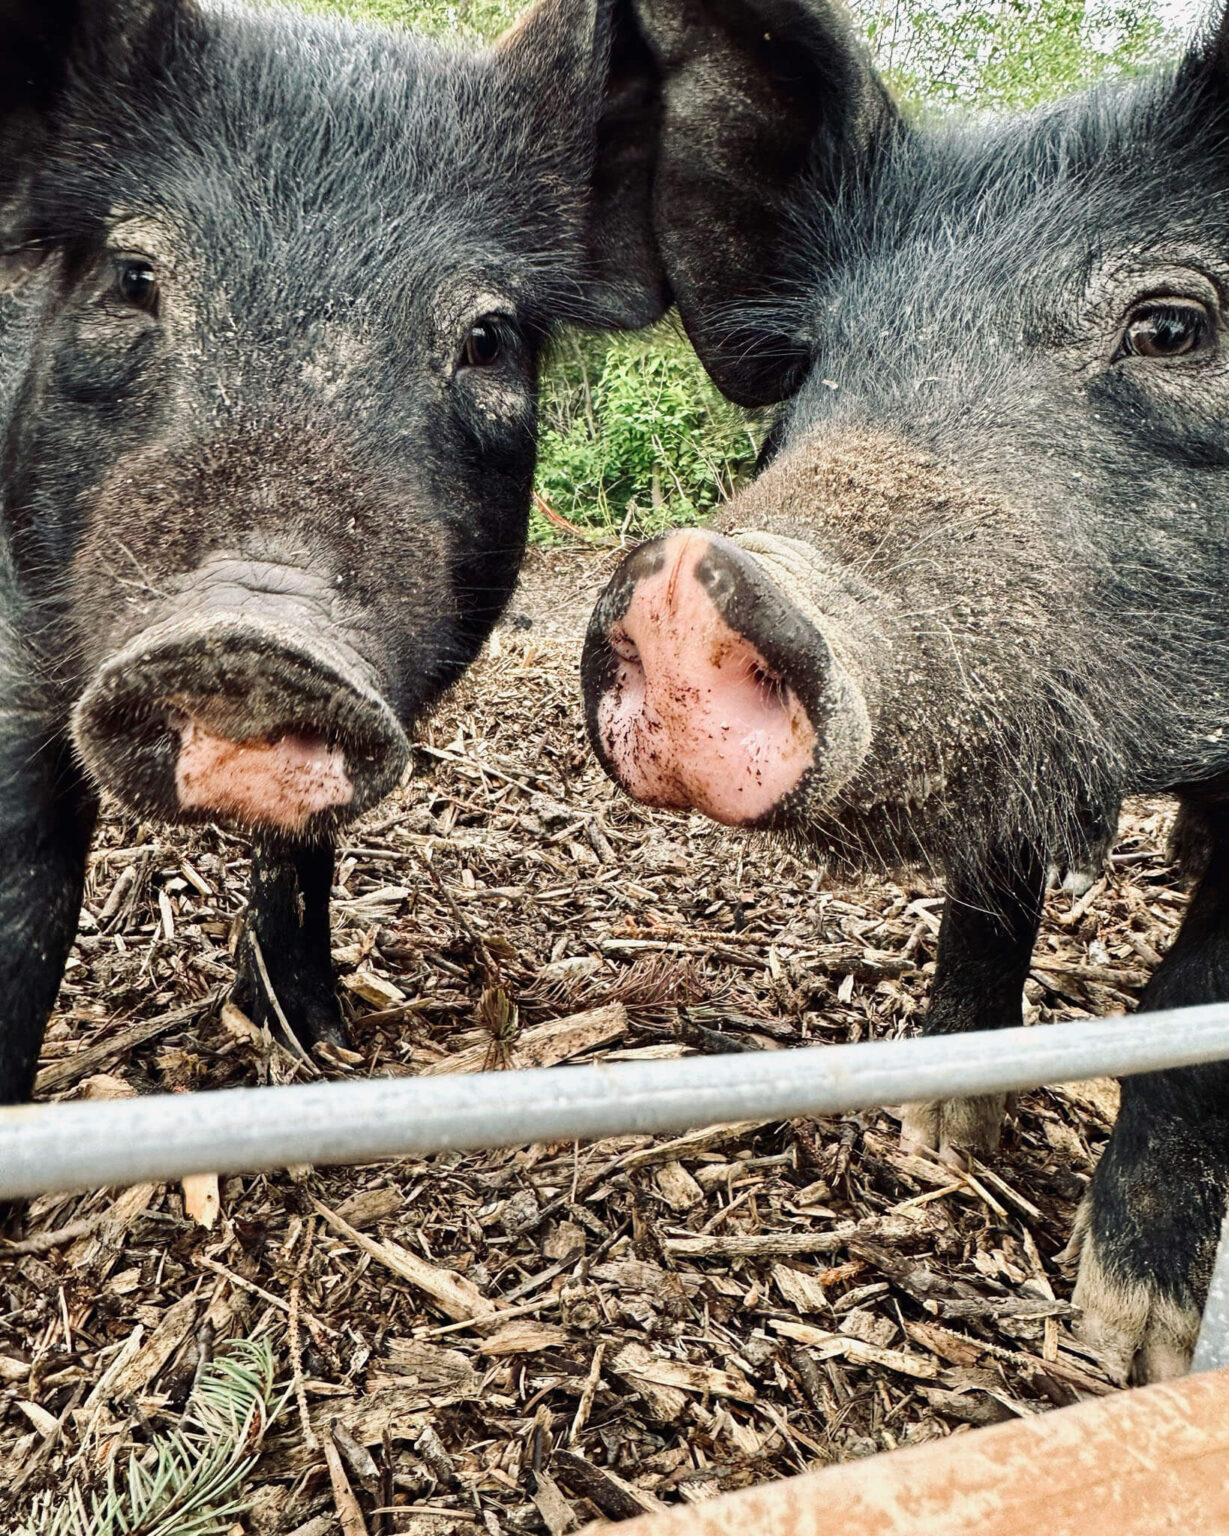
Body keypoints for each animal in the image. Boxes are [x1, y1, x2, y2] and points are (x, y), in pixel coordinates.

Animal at [0, 0, 666, 1104]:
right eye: (133, 277)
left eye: (487, 338)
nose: (253, 637)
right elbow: (31, 885)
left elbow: (300, 854)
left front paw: (319, 1047)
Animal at [581, 0, 1229, 1382]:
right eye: (816, 366)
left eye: (1169, 325)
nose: (680, 575)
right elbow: (980, 907)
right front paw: (931, 1143)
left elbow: (1187, 1011)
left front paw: (1119, 1347)